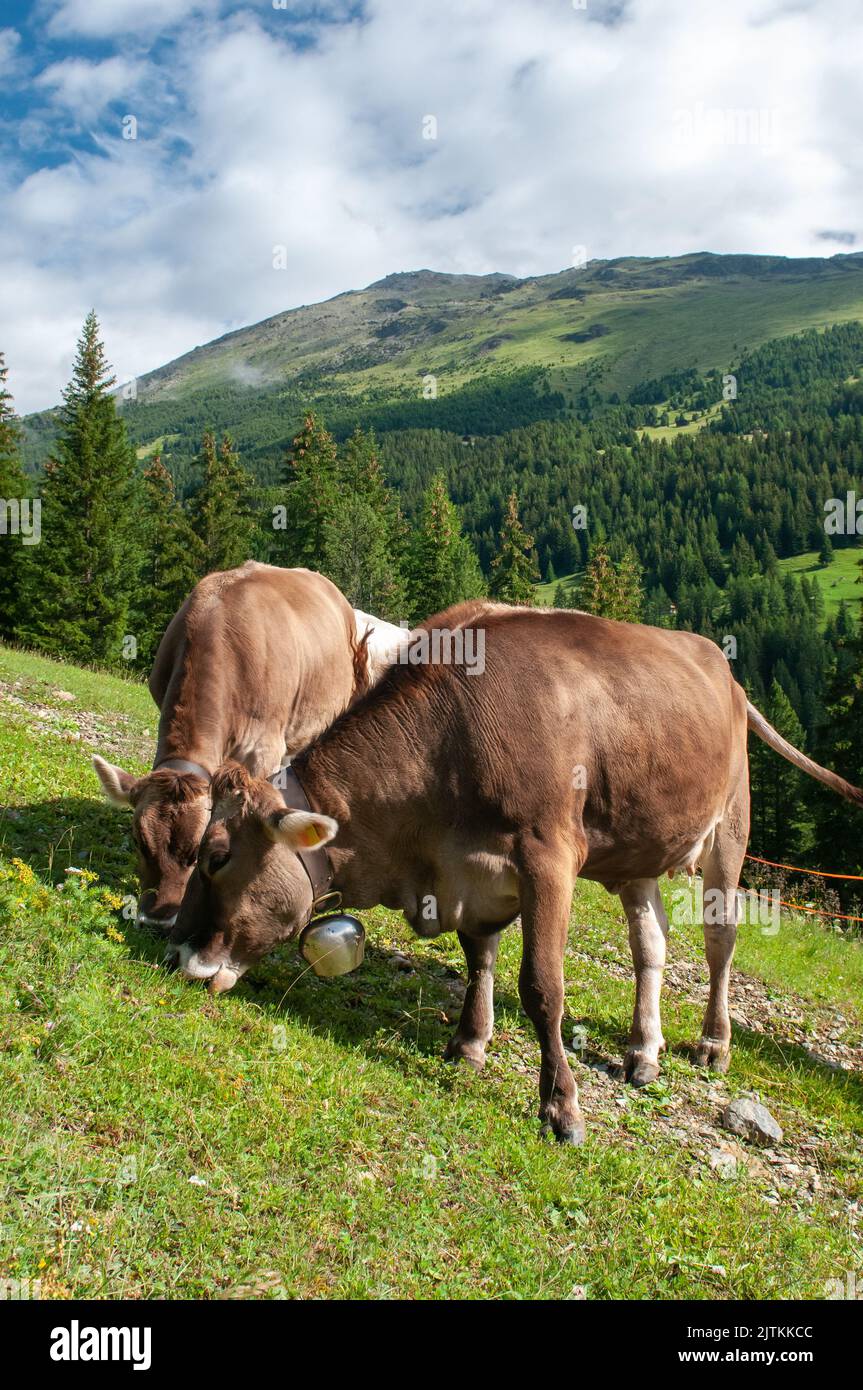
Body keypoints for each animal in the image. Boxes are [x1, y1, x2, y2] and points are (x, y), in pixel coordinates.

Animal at [167, 601, 863, 1143]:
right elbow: (480, 960)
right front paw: (469, 1043)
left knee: (720, 942)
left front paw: (561, 1108)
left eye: (217, 856)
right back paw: (643, 1051)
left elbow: (542, 987)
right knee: (651, 943)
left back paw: (713, 1044)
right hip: (637, 848)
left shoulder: (548, 854)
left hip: (729, 829)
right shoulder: (468, 872)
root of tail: (725, 672)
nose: (177, 955)